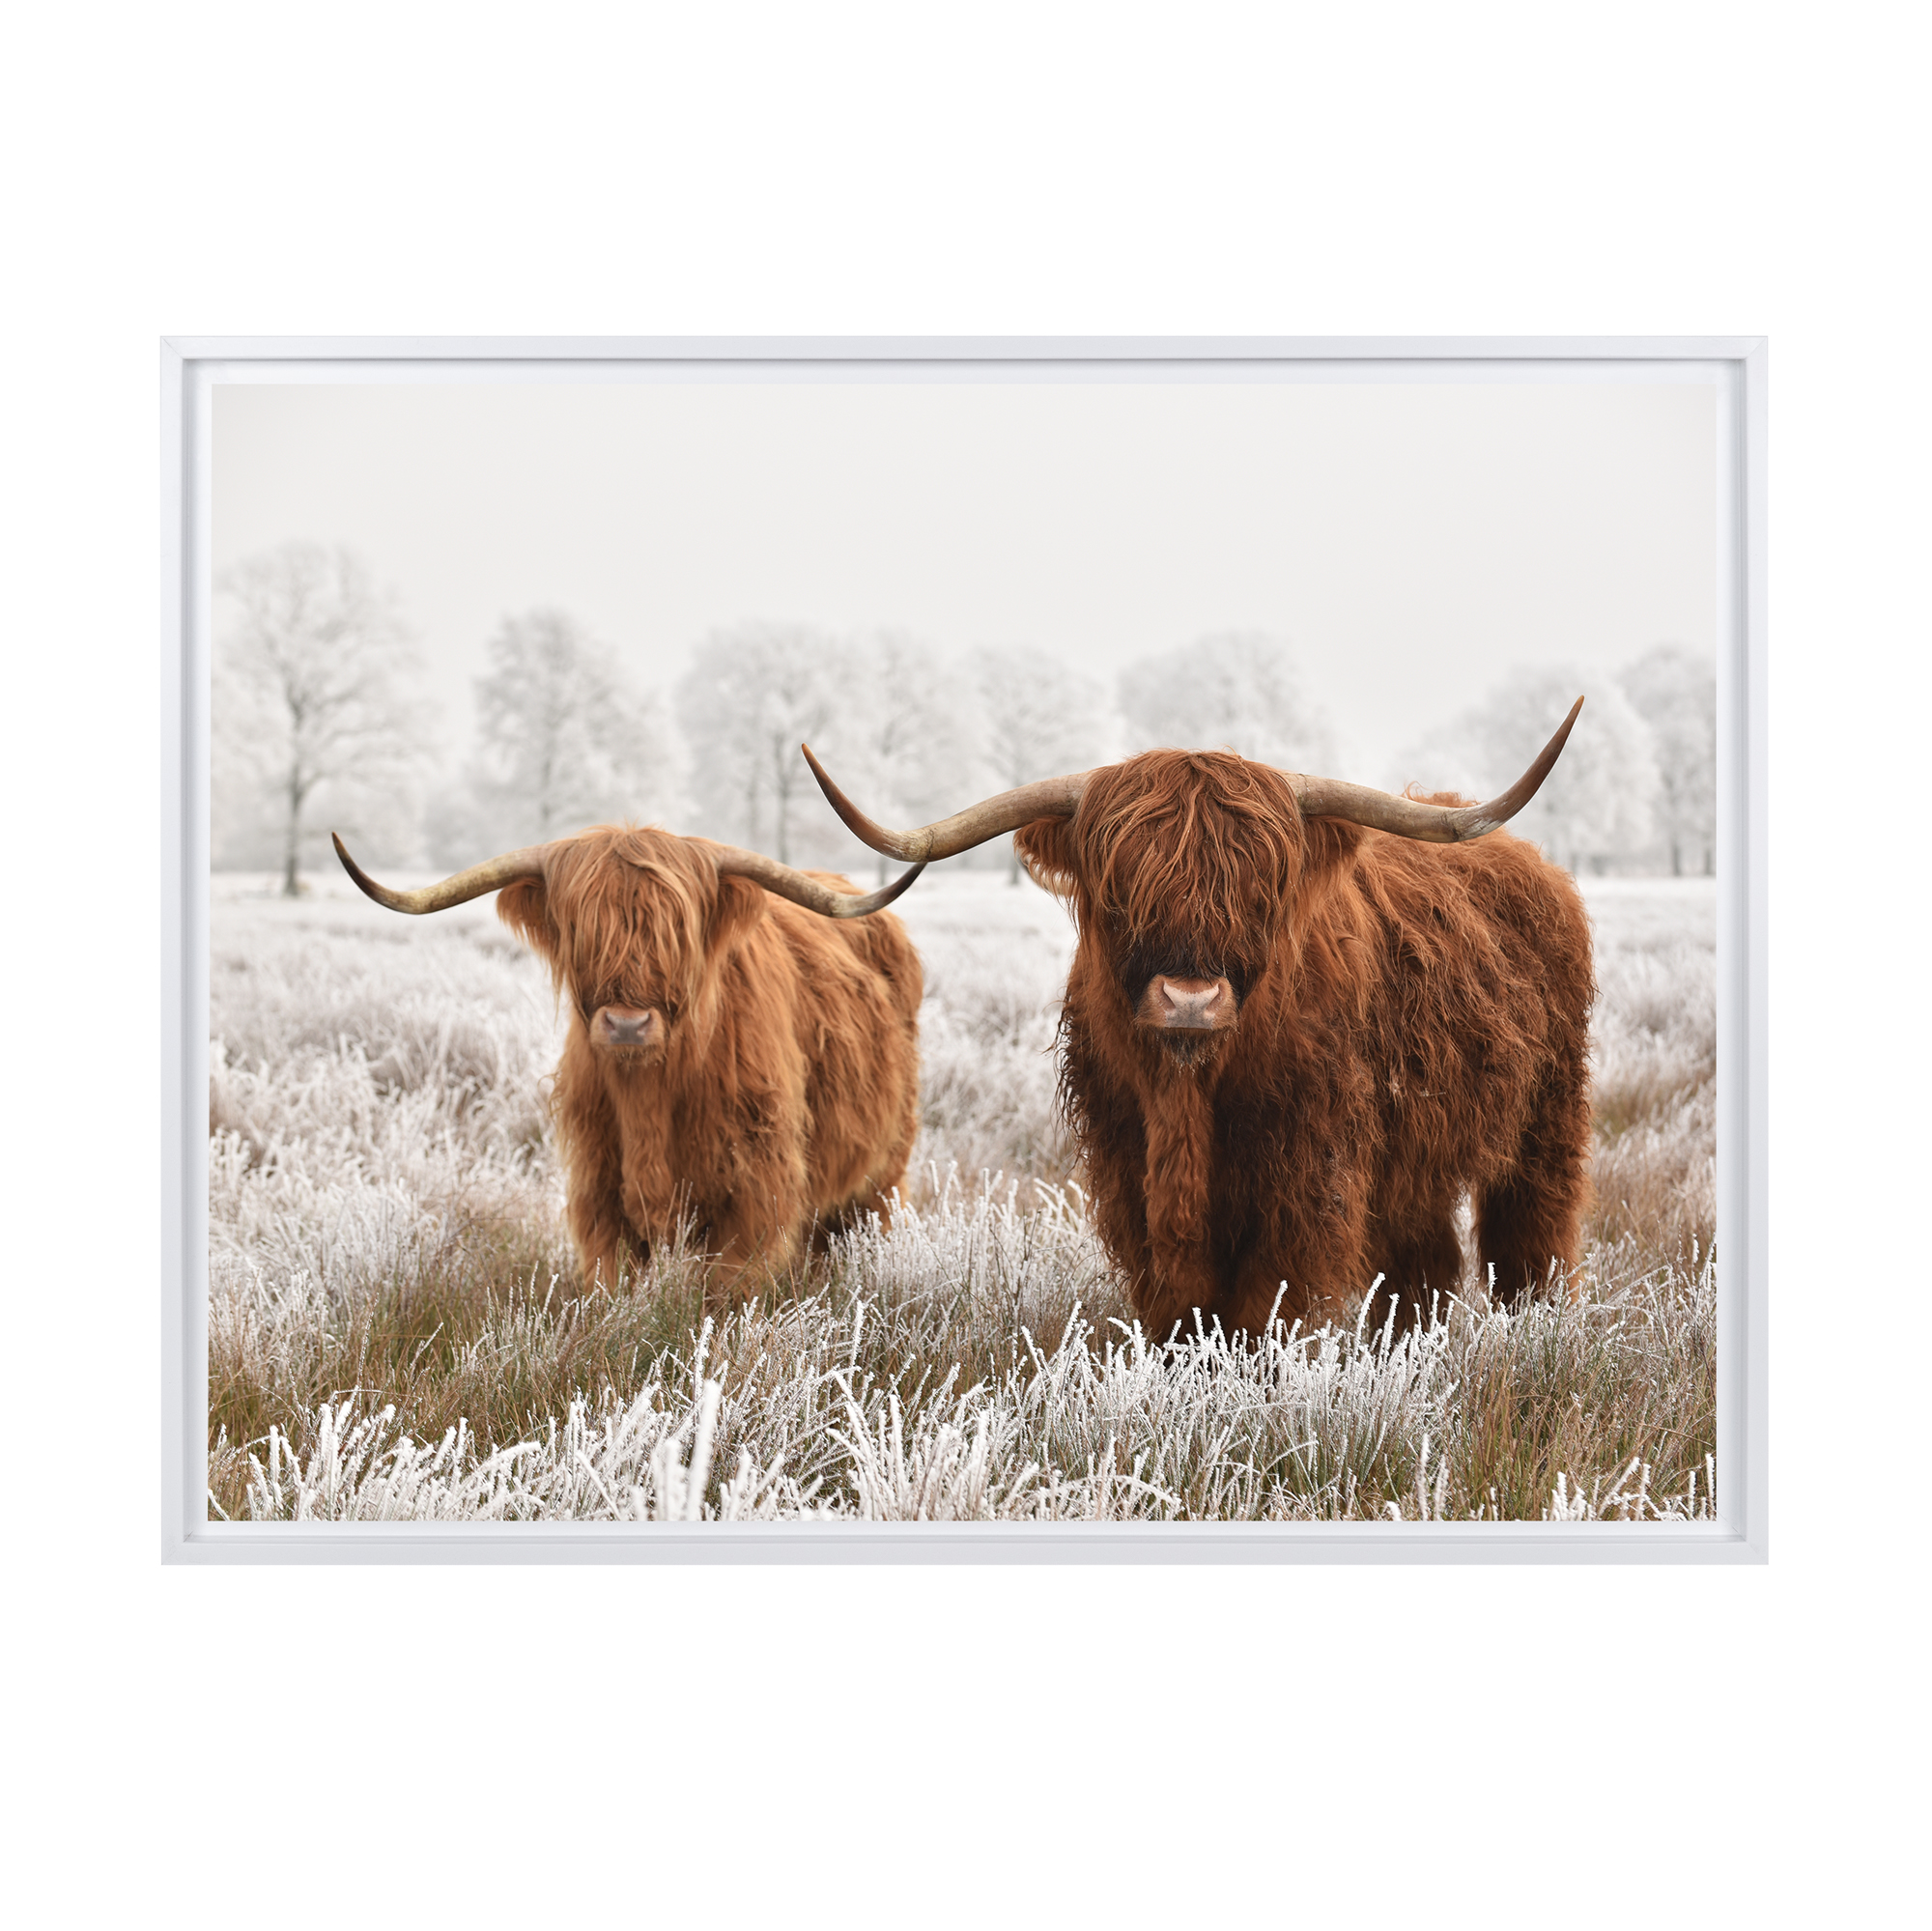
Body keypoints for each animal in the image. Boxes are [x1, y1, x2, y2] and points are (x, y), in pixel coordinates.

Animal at [333, 826, 925, 1301]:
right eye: (581, 930)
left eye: (676, 933)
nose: (626, 1024)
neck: (650, 1096)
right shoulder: (599, 1187)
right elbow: (613, 1285)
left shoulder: (757, 1188)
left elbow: (727, 1290)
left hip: (881, 1172)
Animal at [800, 700, 1593, 1337]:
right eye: (1119, 891)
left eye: (1261, 891)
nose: (1189, 999)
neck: (1187, 1097)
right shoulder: (1129, 1174)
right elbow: (1179, 1310)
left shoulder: (1308, 1182)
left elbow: (1264, 1311)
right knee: (1424, 1264)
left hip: (1547, 1120)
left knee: (1531, 1239)